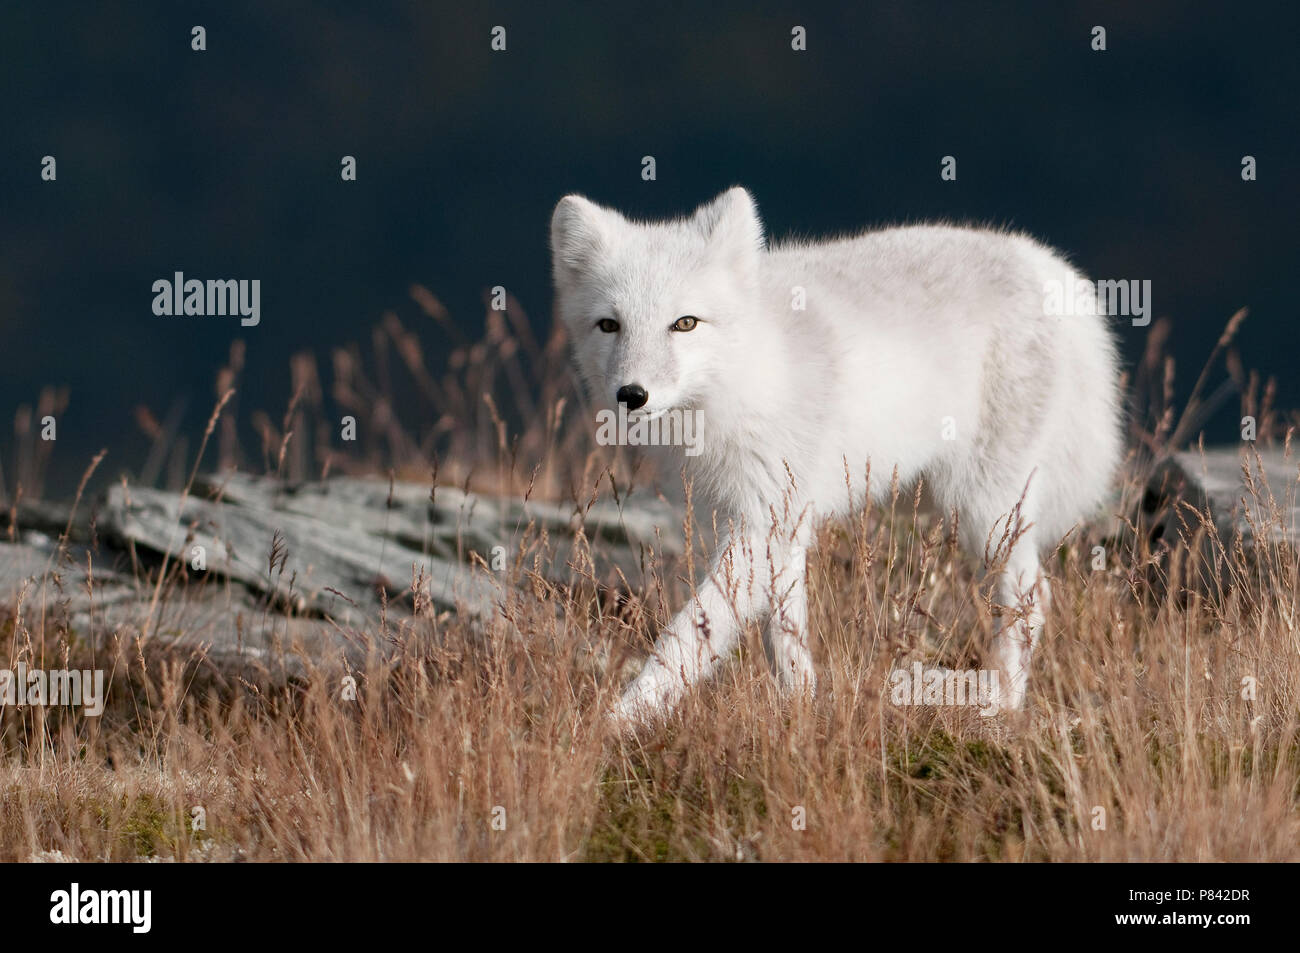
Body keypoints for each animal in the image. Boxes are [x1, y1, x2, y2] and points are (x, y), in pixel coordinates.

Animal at [550, 186, 1123, 728]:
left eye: (685, 323)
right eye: (609, 325)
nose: (632, 395)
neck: (749, 376)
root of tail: (1046, 263)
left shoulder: (760, 524)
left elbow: (690, 631)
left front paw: (620, 722)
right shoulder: (773, 527)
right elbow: (784, 636)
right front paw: (800, 710)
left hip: (984, 506)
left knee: (1030, 599)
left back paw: (1000, 703)